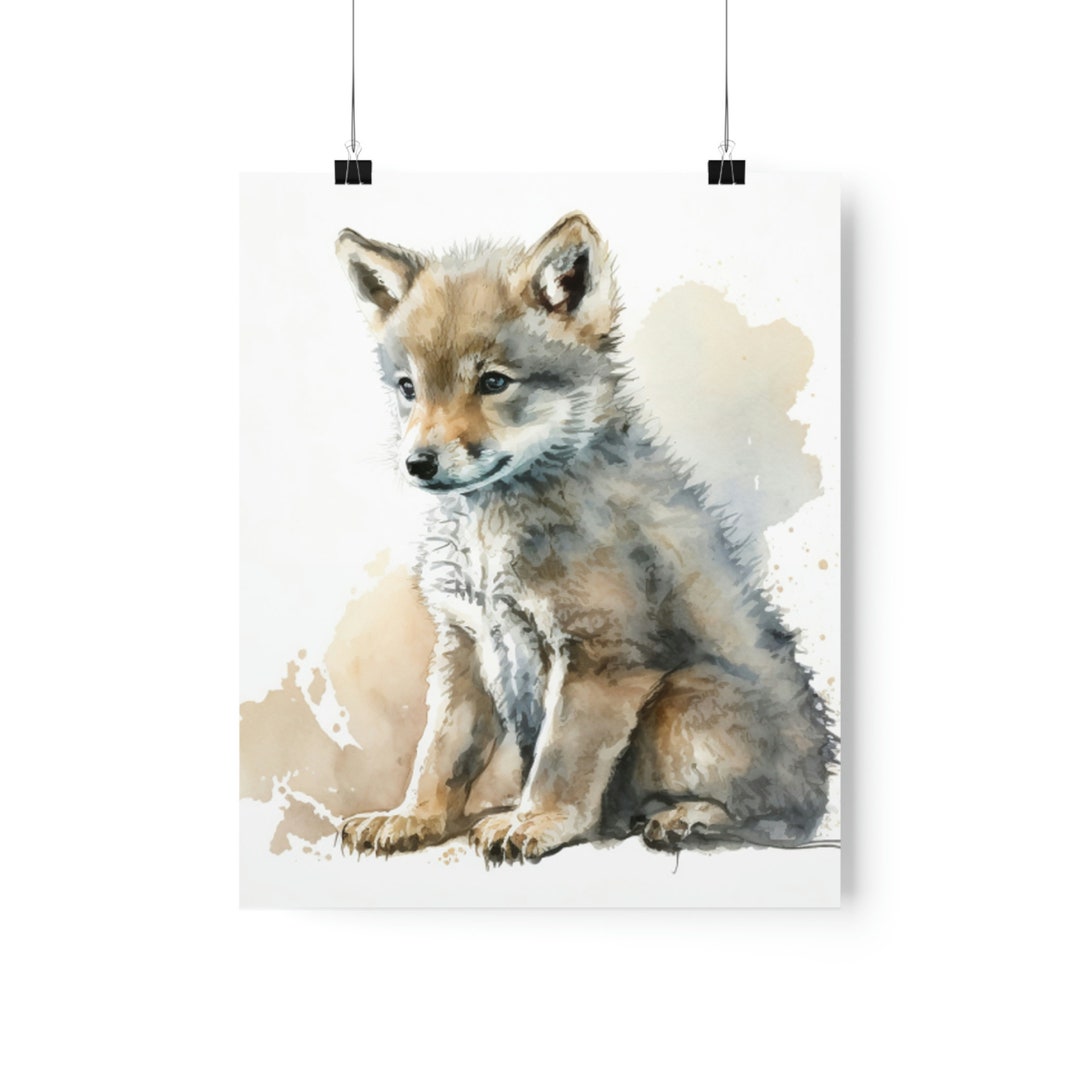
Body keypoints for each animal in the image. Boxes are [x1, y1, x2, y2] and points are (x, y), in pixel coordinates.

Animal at [334, 212, 835, 864]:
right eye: (408, 388)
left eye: (494, 381)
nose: (419, 463)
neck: (489, 534)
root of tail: (823, 784)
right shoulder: (464, 644)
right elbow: (438, 755)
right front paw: (411, 818)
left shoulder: (601, 657)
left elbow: (559, 759)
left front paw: (535, 821)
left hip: (678, 704)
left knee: (768, 821)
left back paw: (686, 818)